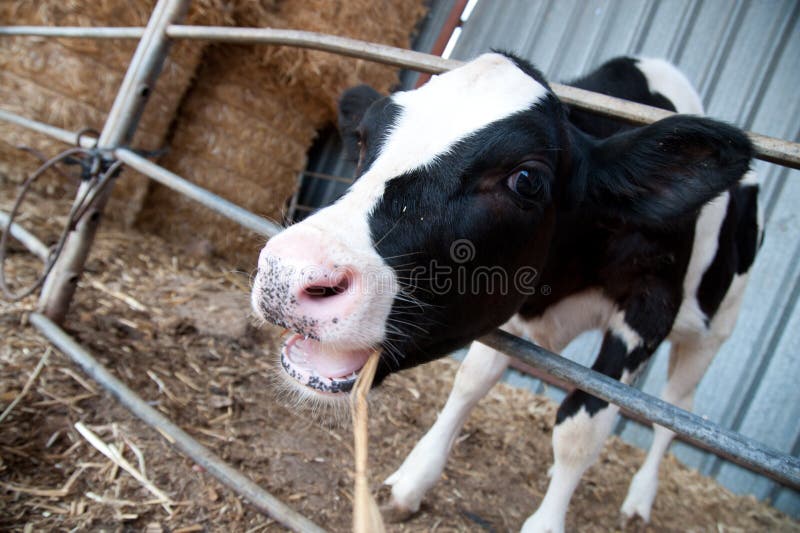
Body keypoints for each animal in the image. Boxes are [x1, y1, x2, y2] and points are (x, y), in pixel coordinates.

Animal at [250, 52, 761, 531]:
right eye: (361, 139)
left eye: (526, 179)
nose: (288, 269)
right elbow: (471, 380)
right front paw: (414, 479)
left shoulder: (649, 308)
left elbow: (582, 425)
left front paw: (546, 522)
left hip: (713, 332)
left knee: (674, 411)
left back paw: (639, 499)